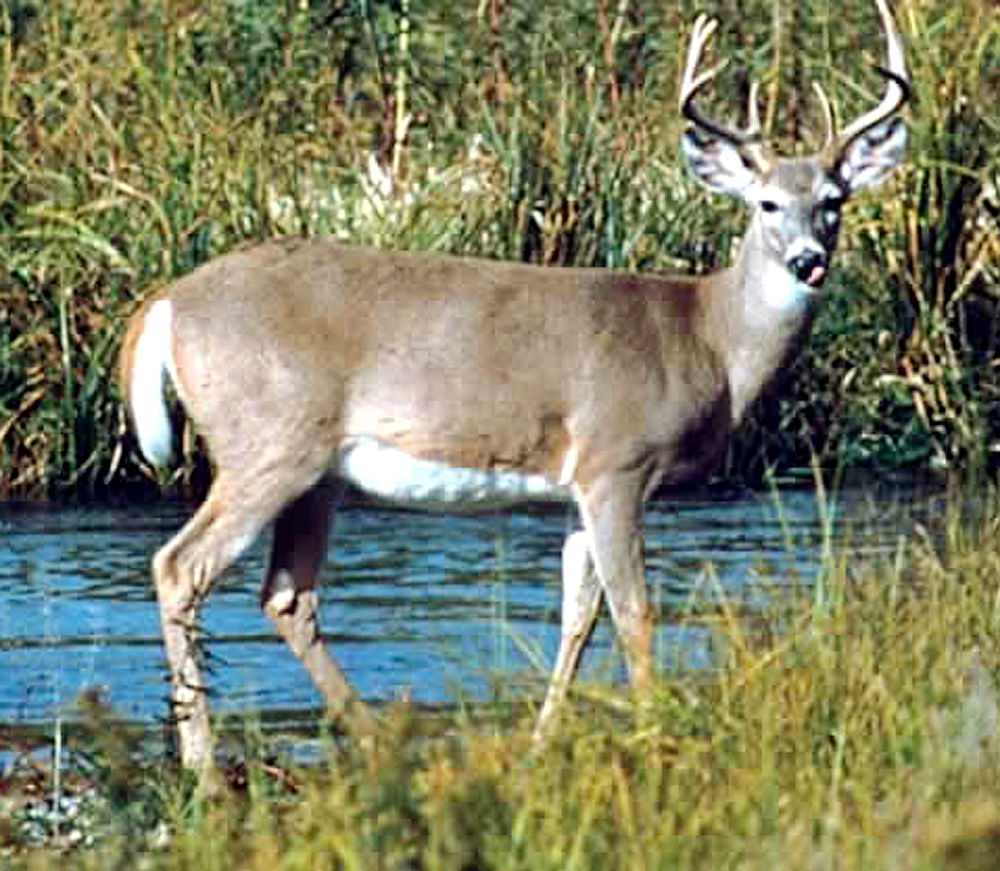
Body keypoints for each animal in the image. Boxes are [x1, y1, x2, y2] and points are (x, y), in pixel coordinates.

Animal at [119, 0, 909, 774]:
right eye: (766, 204)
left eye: (834, 200)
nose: (808, 261)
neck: (706, 337)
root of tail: (166, 303)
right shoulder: (619, 462)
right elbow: (634, 611)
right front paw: (654, 731)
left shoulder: (575, 487)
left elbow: (578, 616)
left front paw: (541, 738)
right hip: (267, 443)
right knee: (181, 566)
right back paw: (202, 765)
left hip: (319, 474)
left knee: (286, 593)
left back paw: (371, 739)